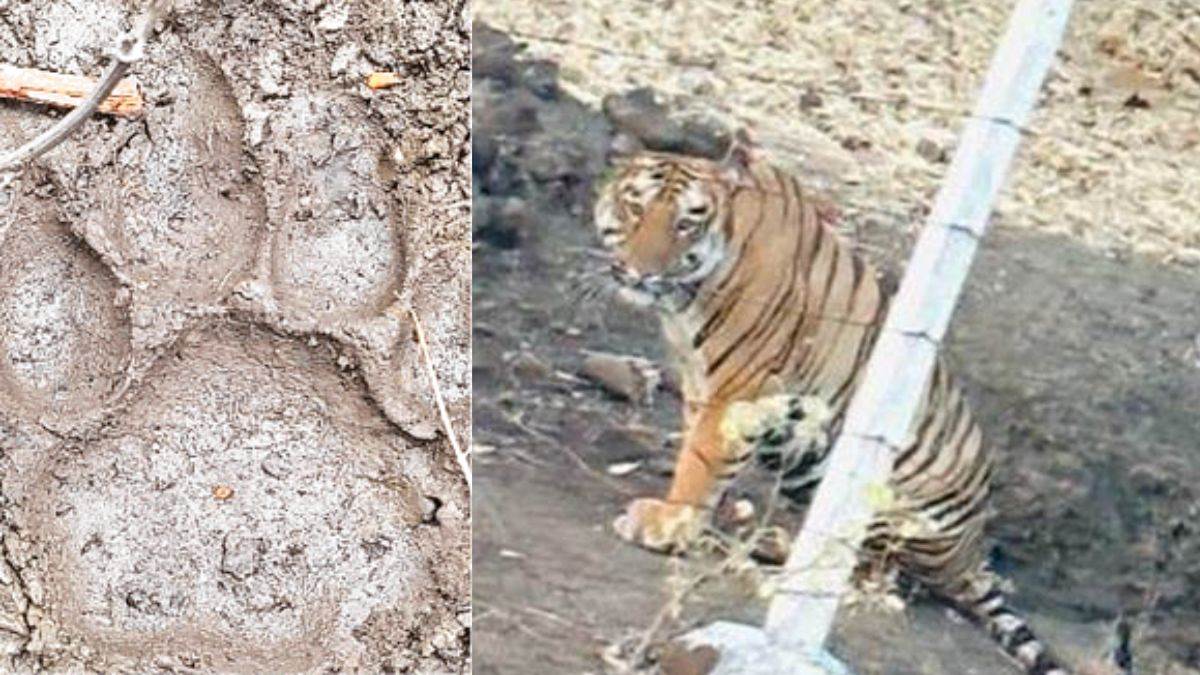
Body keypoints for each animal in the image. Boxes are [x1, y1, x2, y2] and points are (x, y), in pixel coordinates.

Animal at [591, 138, 1078, 675]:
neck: (687, 294)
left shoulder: (737, 387)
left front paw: (665, 524)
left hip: (889, 499)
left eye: (686, 223)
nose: (642, 273)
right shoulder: (701, 381)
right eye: (636, 207)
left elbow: (701, 461)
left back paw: (778, 549)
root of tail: (970, 555)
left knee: (872, 569)